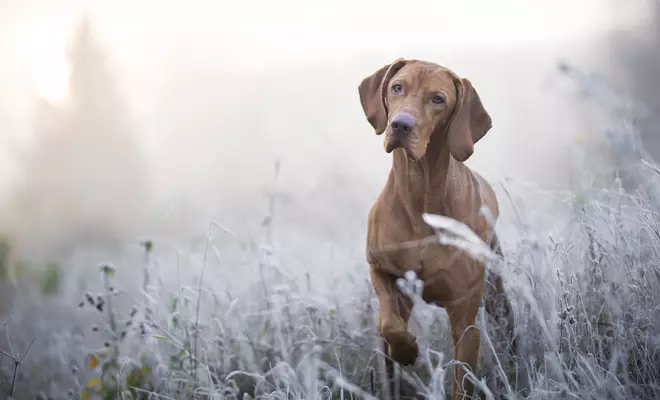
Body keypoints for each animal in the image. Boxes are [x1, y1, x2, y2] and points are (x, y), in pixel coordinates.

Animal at [358, 57, 520, 398]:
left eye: (438, 99)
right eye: (397, 87)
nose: (400, 125)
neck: (420, 194)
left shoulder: (465, 319)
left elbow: (463, 382)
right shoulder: (379, 268)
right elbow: (390, 323)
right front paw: (407, 350)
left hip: (496, 292)